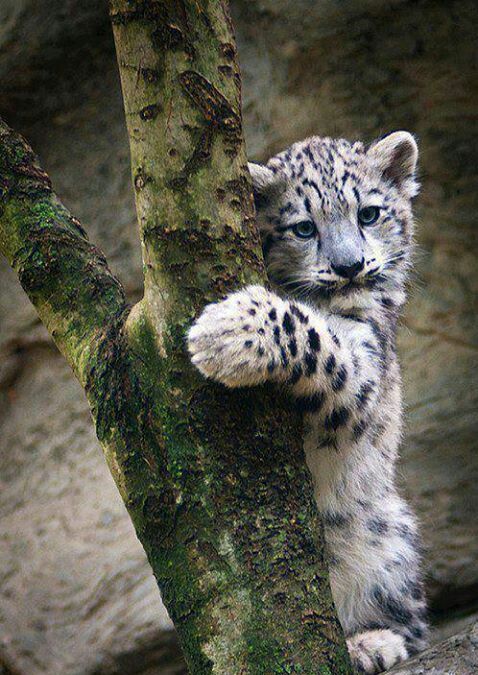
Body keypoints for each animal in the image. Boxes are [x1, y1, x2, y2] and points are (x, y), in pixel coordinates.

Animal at [187, 131, 428, 673]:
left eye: (369, 214)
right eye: (303, 227)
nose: (349, 266)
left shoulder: (364, 360)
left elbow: (317, 335)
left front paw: (223, 332)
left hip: (386, 533)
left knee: (411, 621)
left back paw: (370, 644)